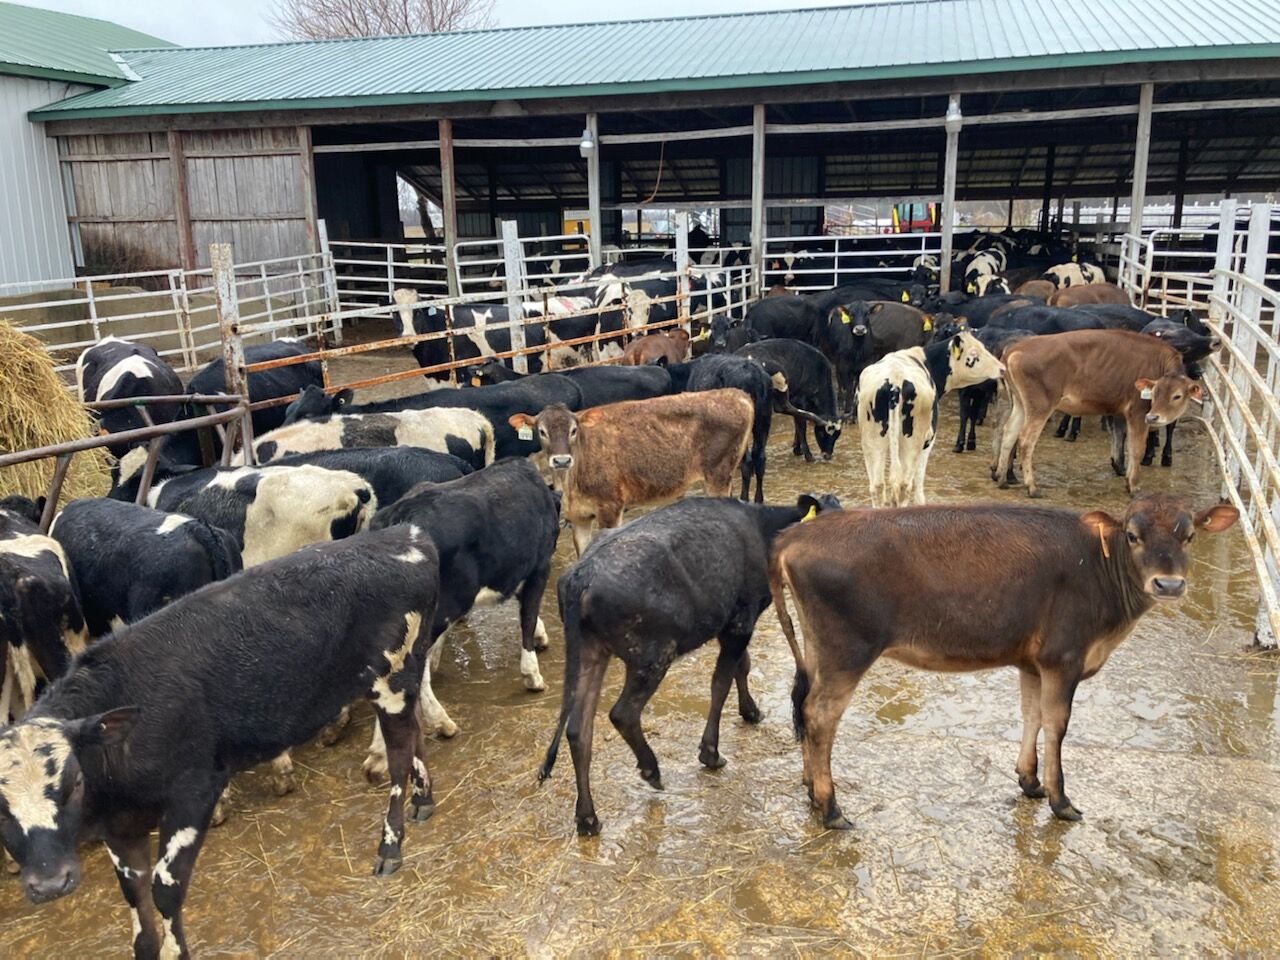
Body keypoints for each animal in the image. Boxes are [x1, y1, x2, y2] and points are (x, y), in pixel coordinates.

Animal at [509, 389, 753, 555]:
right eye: (542, 432)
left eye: (574, 430)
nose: (561, 460)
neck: (569, 483)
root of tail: (736, 394)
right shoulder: (578, 517)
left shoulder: (610, 506)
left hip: (718, 476)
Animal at [539, 492, 841, 835]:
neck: (763, 528)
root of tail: (581, 575)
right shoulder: (740, 621)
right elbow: (721, 683)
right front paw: (711, 751)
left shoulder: (732, 624)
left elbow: (742, 667)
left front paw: (750, 711)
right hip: (652, 655)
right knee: (622, 714)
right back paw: (651, 770)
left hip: (591, 653)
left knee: (579, 729)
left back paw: (587, 817)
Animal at [769, 495, 1239, 829]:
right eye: (1132, 535)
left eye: (1190, 536)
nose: (1169, 584)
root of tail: (794, 537)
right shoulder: (1063, 658)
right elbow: (1057, 725)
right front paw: (1061, 800)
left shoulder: (1033, 663)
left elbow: (1032, 715)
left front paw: (1029, 780)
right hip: (847, 652)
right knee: (821, 716)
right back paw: (830, 807)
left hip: (817, 649)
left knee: (805, 710)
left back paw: (810, 788)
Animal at [857, 331, 1005, 506]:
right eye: (974, 353)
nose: (1002, 369)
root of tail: (895, 379)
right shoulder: (928, 441)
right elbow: (919, 486)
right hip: (913, 442)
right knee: (904, 485)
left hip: (872, 440)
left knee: (877, 485)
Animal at [993, 329, 1203, 497]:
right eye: (1154, 393)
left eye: (1176, 395)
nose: (1153, 417)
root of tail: (1015, 349)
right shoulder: (1137, 413)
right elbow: (1136, 449)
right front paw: (1134, 487)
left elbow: (1125, 444)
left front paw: (1127, 480)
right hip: (1040, 407)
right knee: (1025, 441)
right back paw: (1032, 487)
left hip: (1020, 404)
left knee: (1009, 433)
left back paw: (1002, 479)